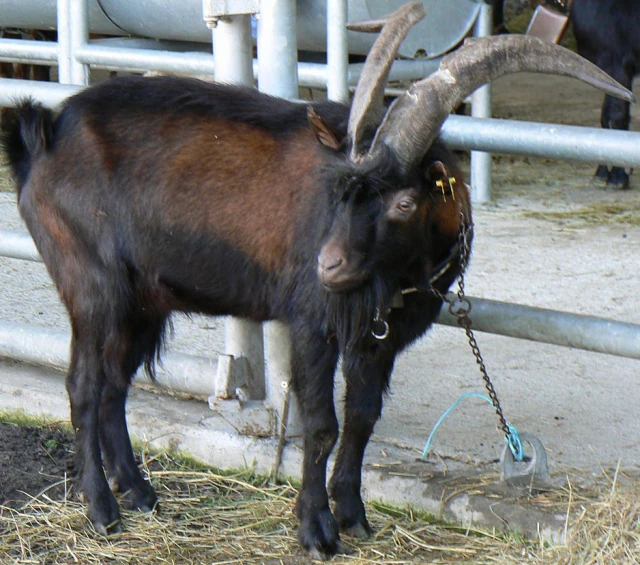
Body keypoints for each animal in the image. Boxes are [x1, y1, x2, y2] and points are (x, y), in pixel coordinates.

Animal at [1, 2, 632, 558]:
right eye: (340, 190)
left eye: (405, 201)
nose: (327, 266)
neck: (394, 275)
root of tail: (43, 132)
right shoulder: (313, 323)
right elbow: (322, 426)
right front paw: (316, 530)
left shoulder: (381, 338)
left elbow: (362, 420)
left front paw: (353, 515)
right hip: (93, 286)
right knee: (84, 387)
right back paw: (102, 511)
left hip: (144, 303)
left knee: (113, 386)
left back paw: (140, 493)